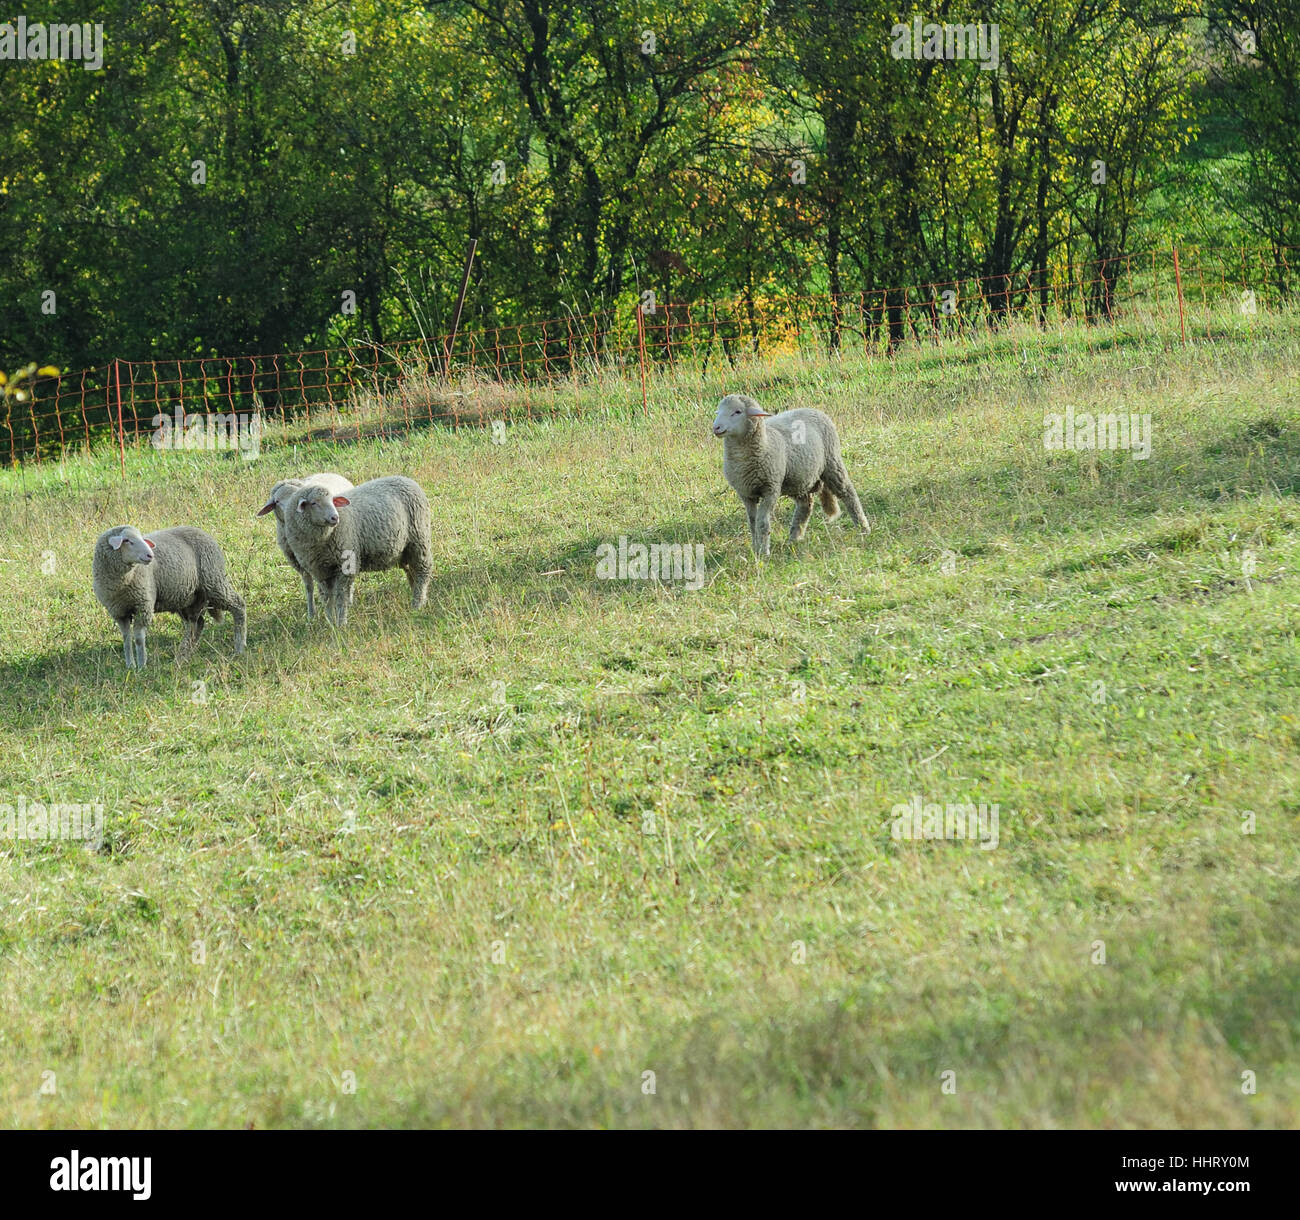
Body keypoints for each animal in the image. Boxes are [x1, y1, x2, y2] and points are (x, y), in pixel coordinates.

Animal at [92, 525, 247, 668]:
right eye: (127, 540)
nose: (150, 556)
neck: (123, 582)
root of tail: (203, 532)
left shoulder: (144, 606)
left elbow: (138, 638)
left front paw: (141, 666)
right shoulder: (119, 612)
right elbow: (126, 638)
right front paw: (130, 665)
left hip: (214, 581)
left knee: (238, 606)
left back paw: (239, 646)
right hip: (187, 598)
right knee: (196, 625)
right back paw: (183, 656)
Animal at [256, 472, 354, 619]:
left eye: (296, 497)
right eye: (277, 501)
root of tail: (330, 472)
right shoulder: (300, 561)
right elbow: (309, 586)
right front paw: (311, 614)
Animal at [281, 475, 433, 626]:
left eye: (332, 501)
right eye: (313, 503)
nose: (335, 517)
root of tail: (405, 479)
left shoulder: (344, 566)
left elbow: (341, 596)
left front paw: (341, 624)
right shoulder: (320, 571)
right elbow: (328, 598)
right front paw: (331, 622)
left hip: (419, 540)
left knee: (422, 573)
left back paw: (417, 606)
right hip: (404, 551)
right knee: (412, 573)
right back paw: (418, 599)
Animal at [711, 393, 869, 558]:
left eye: (737, 412)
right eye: (719, 411)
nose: (716, 427)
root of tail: (812, 409)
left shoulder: (771, 489)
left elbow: (762, 522)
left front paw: (764, 552)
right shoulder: (746, 494)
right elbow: (752, 522)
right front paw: (756, 549)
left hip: (832, 462)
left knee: (848, 493)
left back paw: (863, 528)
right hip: (799, 480)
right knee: (805, 506)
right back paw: (794, 538)